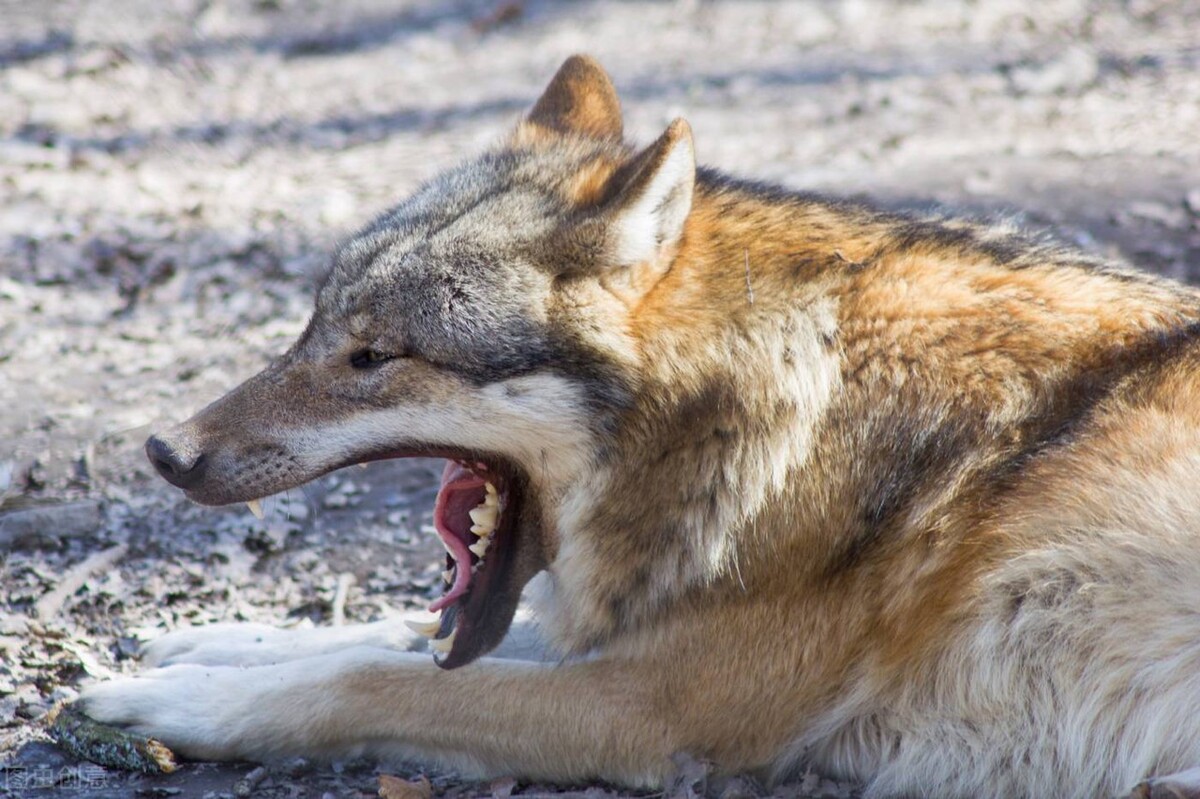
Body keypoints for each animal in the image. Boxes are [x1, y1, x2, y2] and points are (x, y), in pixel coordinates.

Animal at [82, 55, 1200, 798]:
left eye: (374, 355)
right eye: (314, 327)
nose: (166, 451)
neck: (784, 402)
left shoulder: (653, 708)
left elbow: (366, 675)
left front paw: (176, 706)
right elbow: (382, 630)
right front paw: (205, 642)